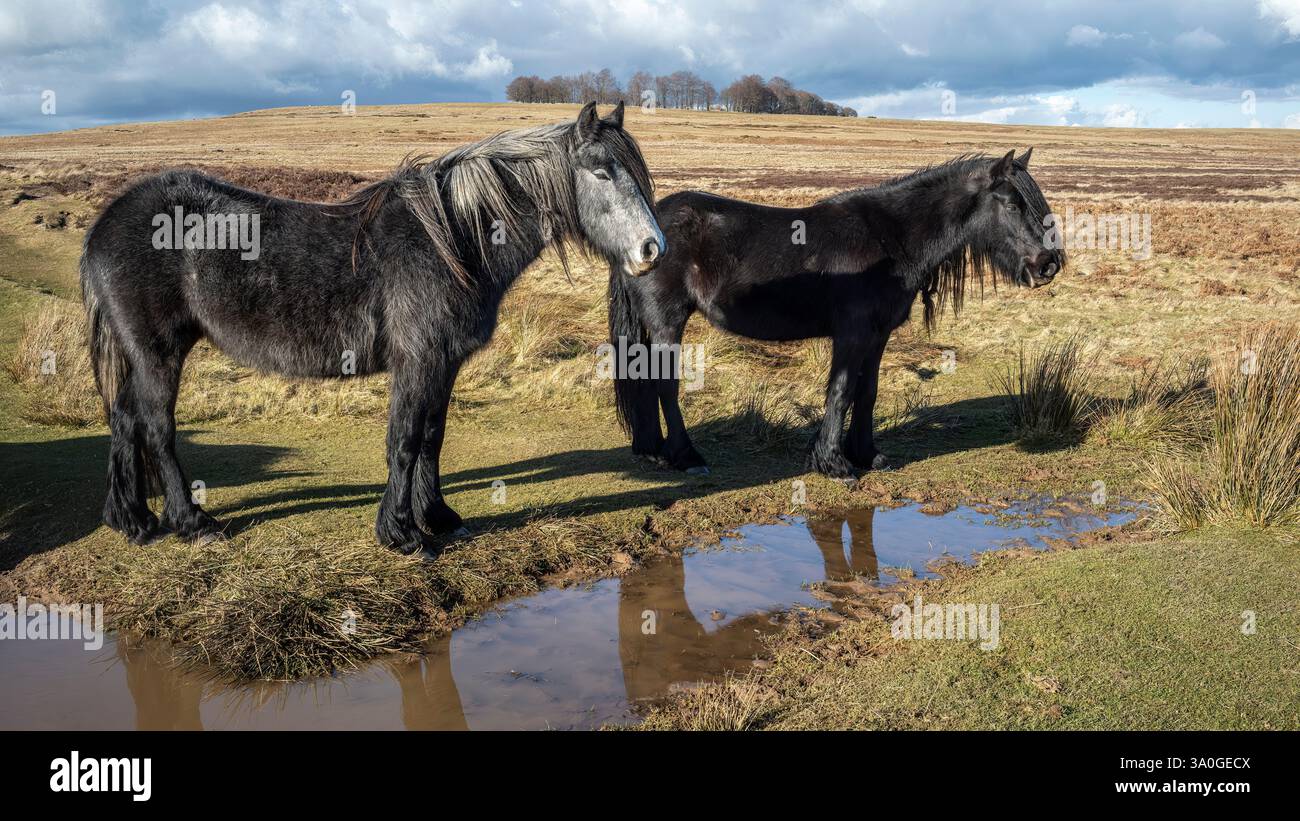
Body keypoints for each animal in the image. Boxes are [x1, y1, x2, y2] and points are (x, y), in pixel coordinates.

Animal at [82, 101, 665, 555]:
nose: (651, 250)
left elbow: (431, 437)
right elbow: (404, 440)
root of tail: (106, 222)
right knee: (155, 426)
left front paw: (439, 517)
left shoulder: (444, 362)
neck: (454, 242)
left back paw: (133, 520)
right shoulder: (418, 359)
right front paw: (402, 533)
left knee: (124, 418)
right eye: (601, 172)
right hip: (158, 351)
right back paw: (191, 522)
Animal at [608, 149, 1063, 480]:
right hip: (667, 320)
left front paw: (866, 454)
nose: (1048, 265)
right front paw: (833, 463)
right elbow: (841, 391)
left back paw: (654, 450)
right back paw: (686, 457)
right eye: (1011, 203)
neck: (890, 240)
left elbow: (867, 392)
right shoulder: (852, 333)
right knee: (665, 385)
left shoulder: (878, 335)